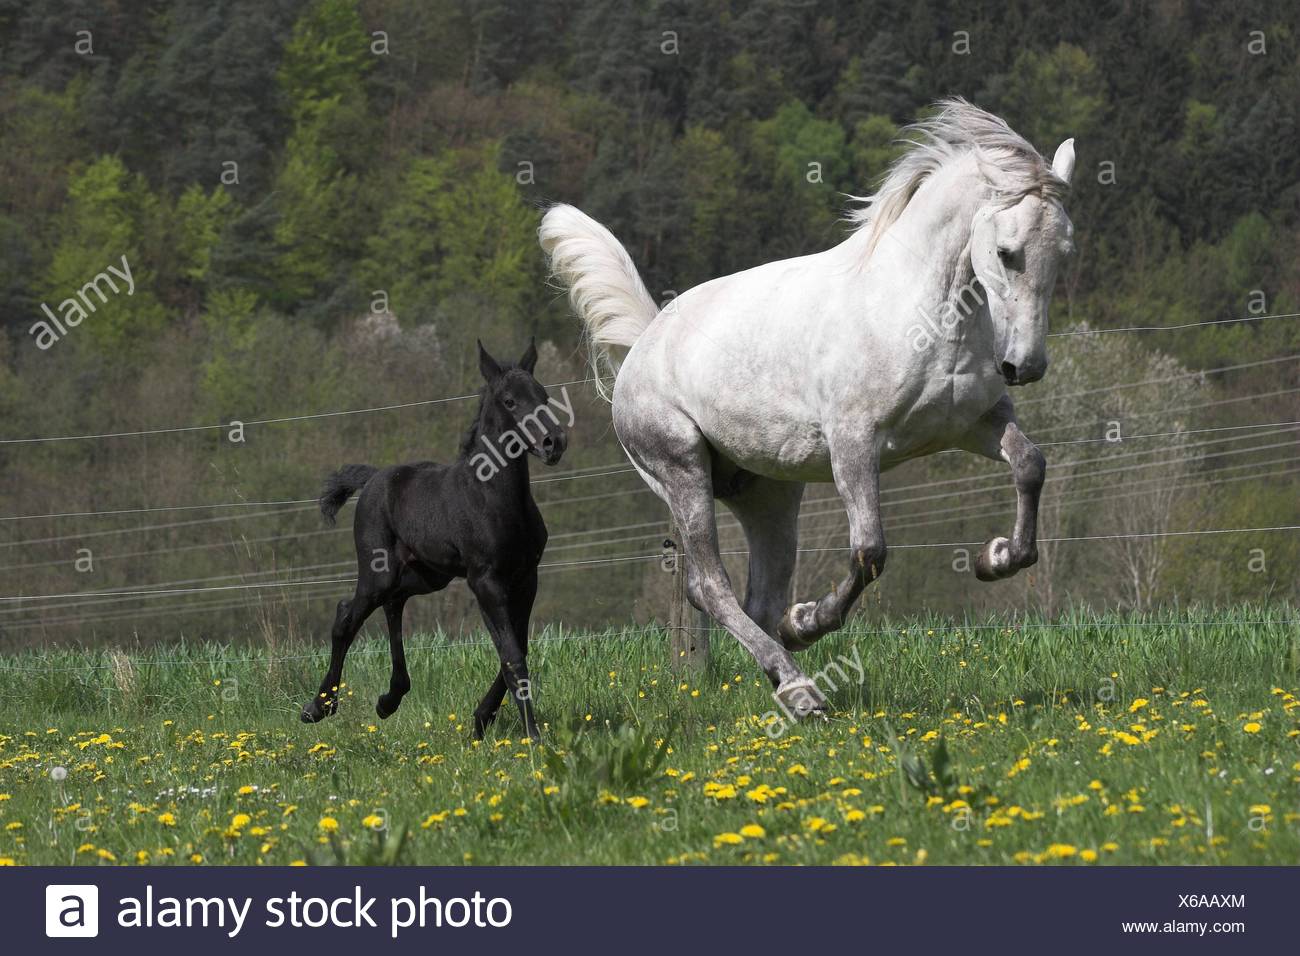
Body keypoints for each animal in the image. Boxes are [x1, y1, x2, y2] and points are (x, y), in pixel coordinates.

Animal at [300, 339, 568, 739]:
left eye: (544, 396)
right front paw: (532, 736)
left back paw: (389, 699)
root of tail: (374, 477)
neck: (495, 497)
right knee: (347, 616)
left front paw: (482, 718)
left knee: (393, 605)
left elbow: (516, 649)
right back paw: (319, 707)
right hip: (379, 572)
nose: (554, 443)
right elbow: (513, 657)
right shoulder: (485, 581)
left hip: (427, 576)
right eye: (509, 401)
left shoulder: (525, 578)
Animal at [540, 98, 1075, 717]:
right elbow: (869, 551)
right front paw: (811, 620)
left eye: (1065, 251)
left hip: (769, 494)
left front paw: (996, 558)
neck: (918, 313)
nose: (1024, 366)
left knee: (755, 596)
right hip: (681, 471)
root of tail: (645, 343)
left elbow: (1030, 465)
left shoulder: (973, 424)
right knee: (712, 587)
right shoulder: (853, 444)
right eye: (1007, 254)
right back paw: (799, 685)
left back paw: (786, 670)